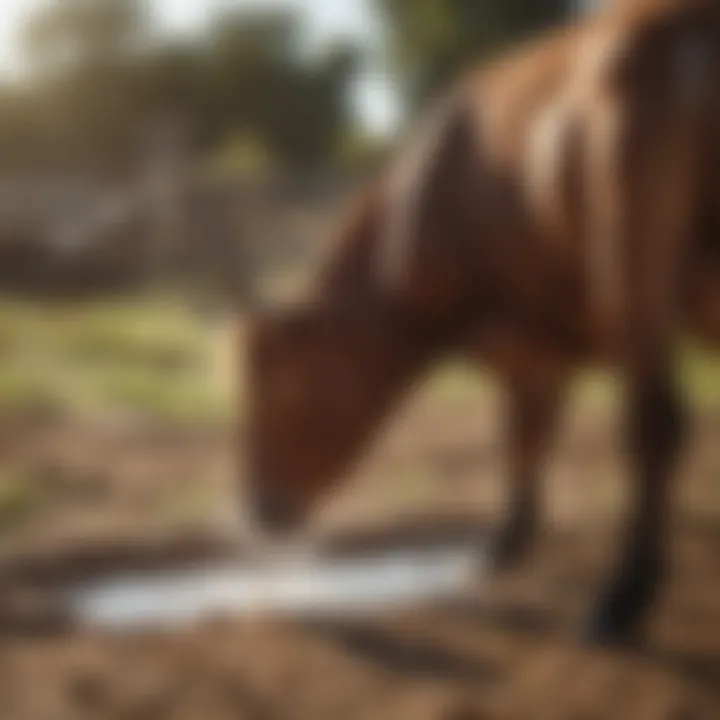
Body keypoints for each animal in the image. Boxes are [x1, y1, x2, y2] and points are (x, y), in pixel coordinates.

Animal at [245, 0, 720, 640]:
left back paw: (621, 595)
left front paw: (506, 540)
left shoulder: (518, 341)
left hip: (634, 264)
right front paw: (511, 538)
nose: (258, 506)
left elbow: (519, 432)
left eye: (279, 391)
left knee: (655, 421)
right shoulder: (544, 345)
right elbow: (531, 433)